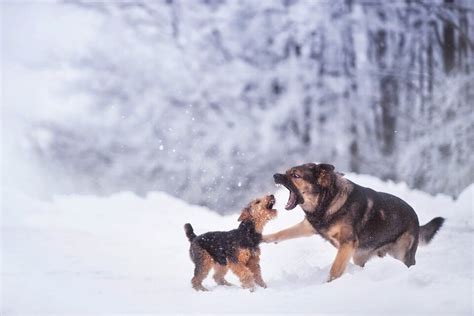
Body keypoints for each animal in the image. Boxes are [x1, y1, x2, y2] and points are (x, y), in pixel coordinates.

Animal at [262, 163, 444, 282]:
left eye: (296, 175)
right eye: (286, 172)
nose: (275, 175)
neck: (328, 200)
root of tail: (417, 221)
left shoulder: (347, 243)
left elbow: (335, 269)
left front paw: (327, 285)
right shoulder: (309, 227)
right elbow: (282, 233)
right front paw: (261, 238)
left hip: (401, 254)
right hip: (359, 256)